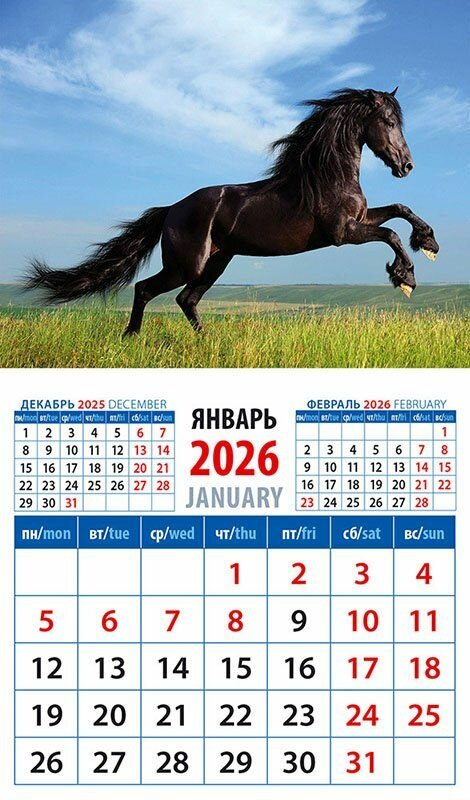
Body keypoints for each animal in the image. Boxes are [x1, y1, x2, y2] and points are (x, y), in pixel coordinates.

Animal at [25, 87, 439, 335]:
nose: (406, 166)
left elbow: (400, 209)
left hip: (217, 262)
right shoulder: (343, 233)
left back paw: (205, 341)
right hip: (187, 265)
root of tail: (171, 210)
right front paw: (405, 277)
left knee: (186, 300)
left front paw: (429, 243)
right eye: (388, 122)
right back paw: (131, 337)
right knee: (146, 289)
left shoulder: (359, 220)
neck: (326, 176)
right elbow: (389, 233)